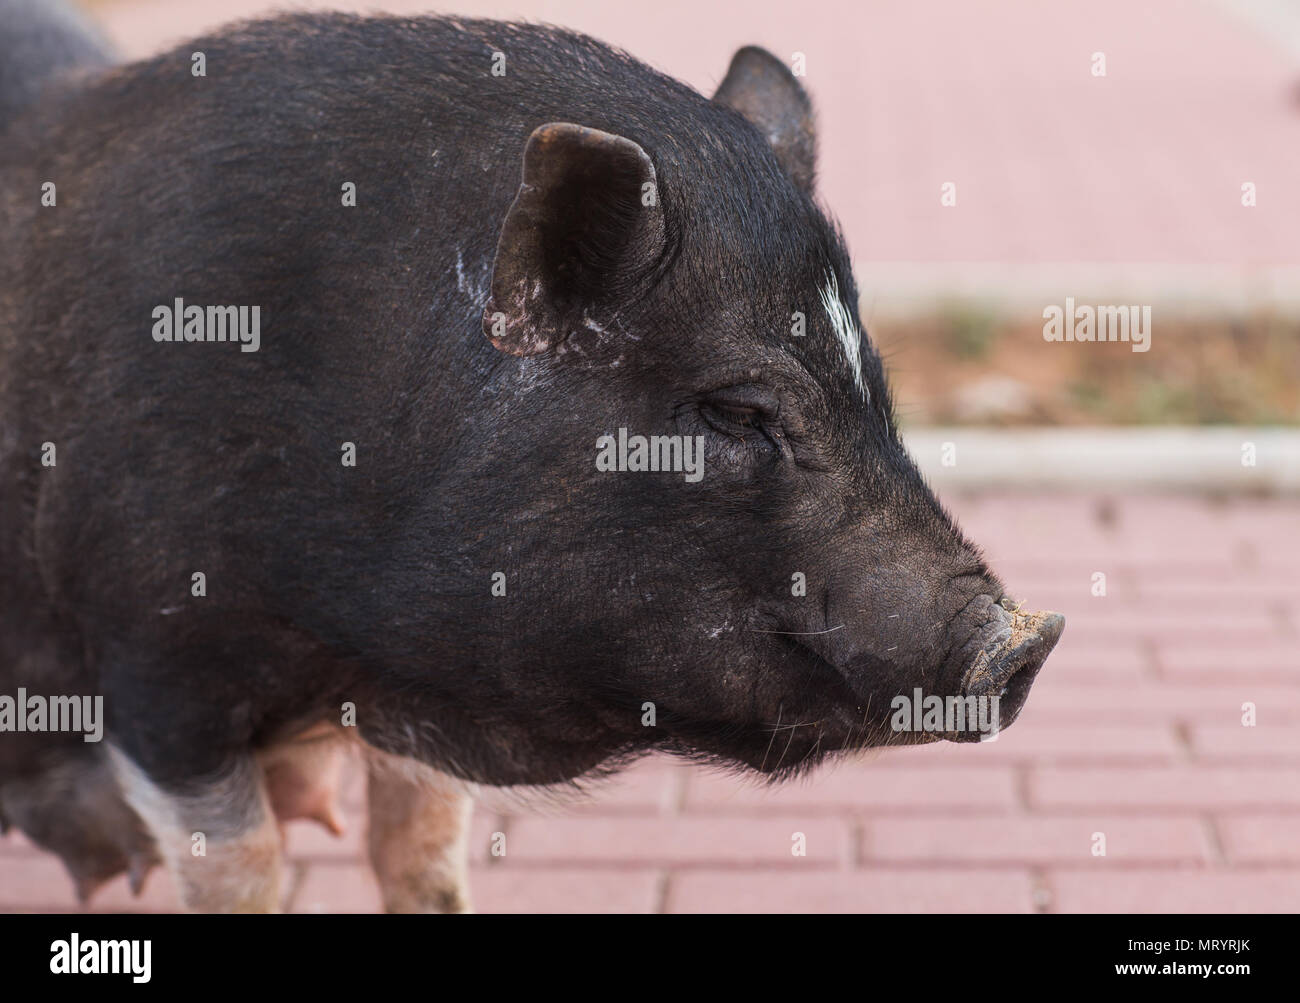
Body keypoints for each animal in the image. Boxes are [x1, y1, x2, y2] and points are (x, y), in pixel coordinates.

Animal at [0, 6, 1063, 912]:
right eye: (738, 408)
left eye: (873, 379)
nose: (1024, 638)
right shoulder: (156, 674)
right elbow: (242, 872)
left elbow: (423, 851)